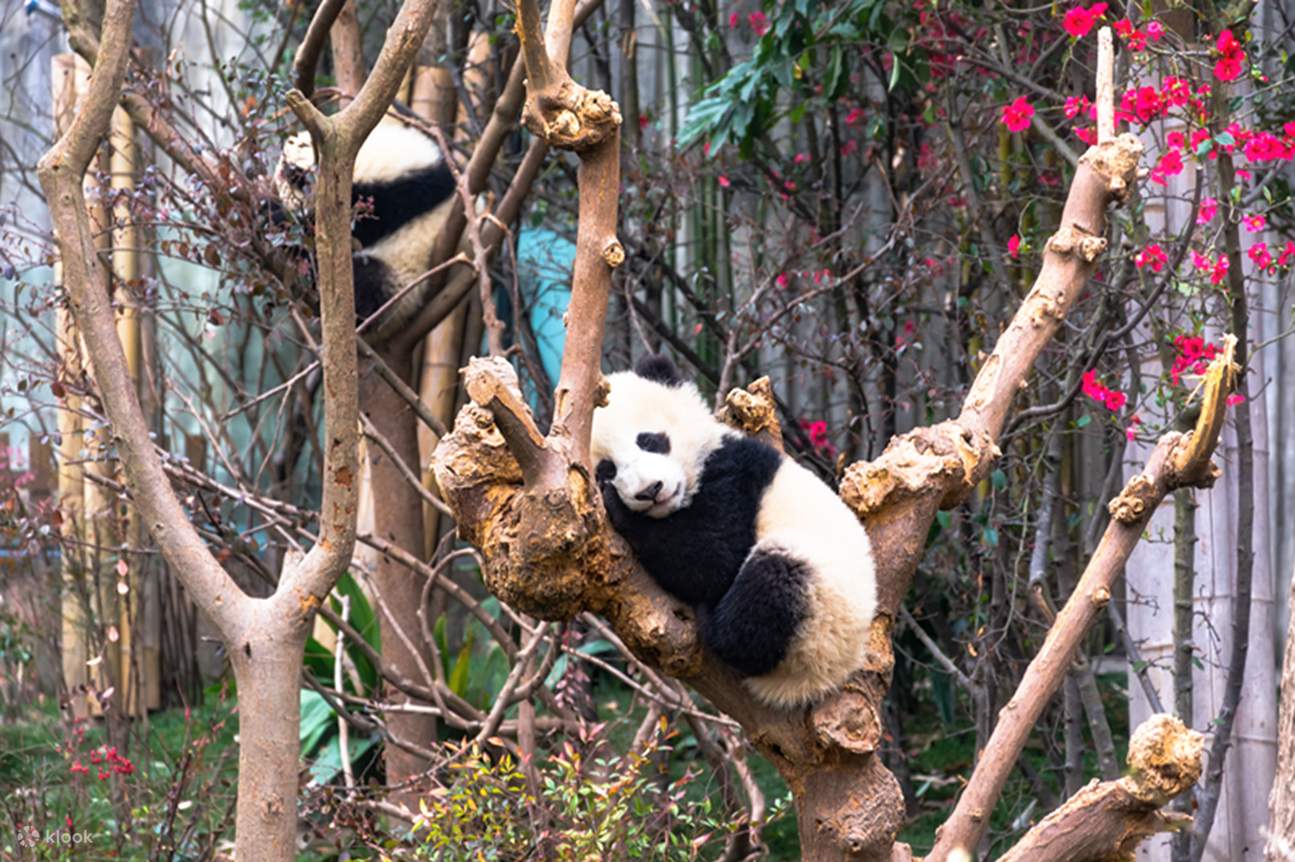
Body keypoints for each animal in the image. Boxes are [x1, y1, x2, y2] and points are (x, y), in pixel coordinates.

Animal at [591, 355, 877, 708]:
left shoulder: (733, 478)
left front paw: (618, 508)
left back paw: (712, 623)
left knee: (773, 579)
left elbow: (715, 558)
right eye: (606, 469)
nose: (650, 490)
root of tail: (831, 674)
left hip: (824, 612)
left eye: (649, 440)